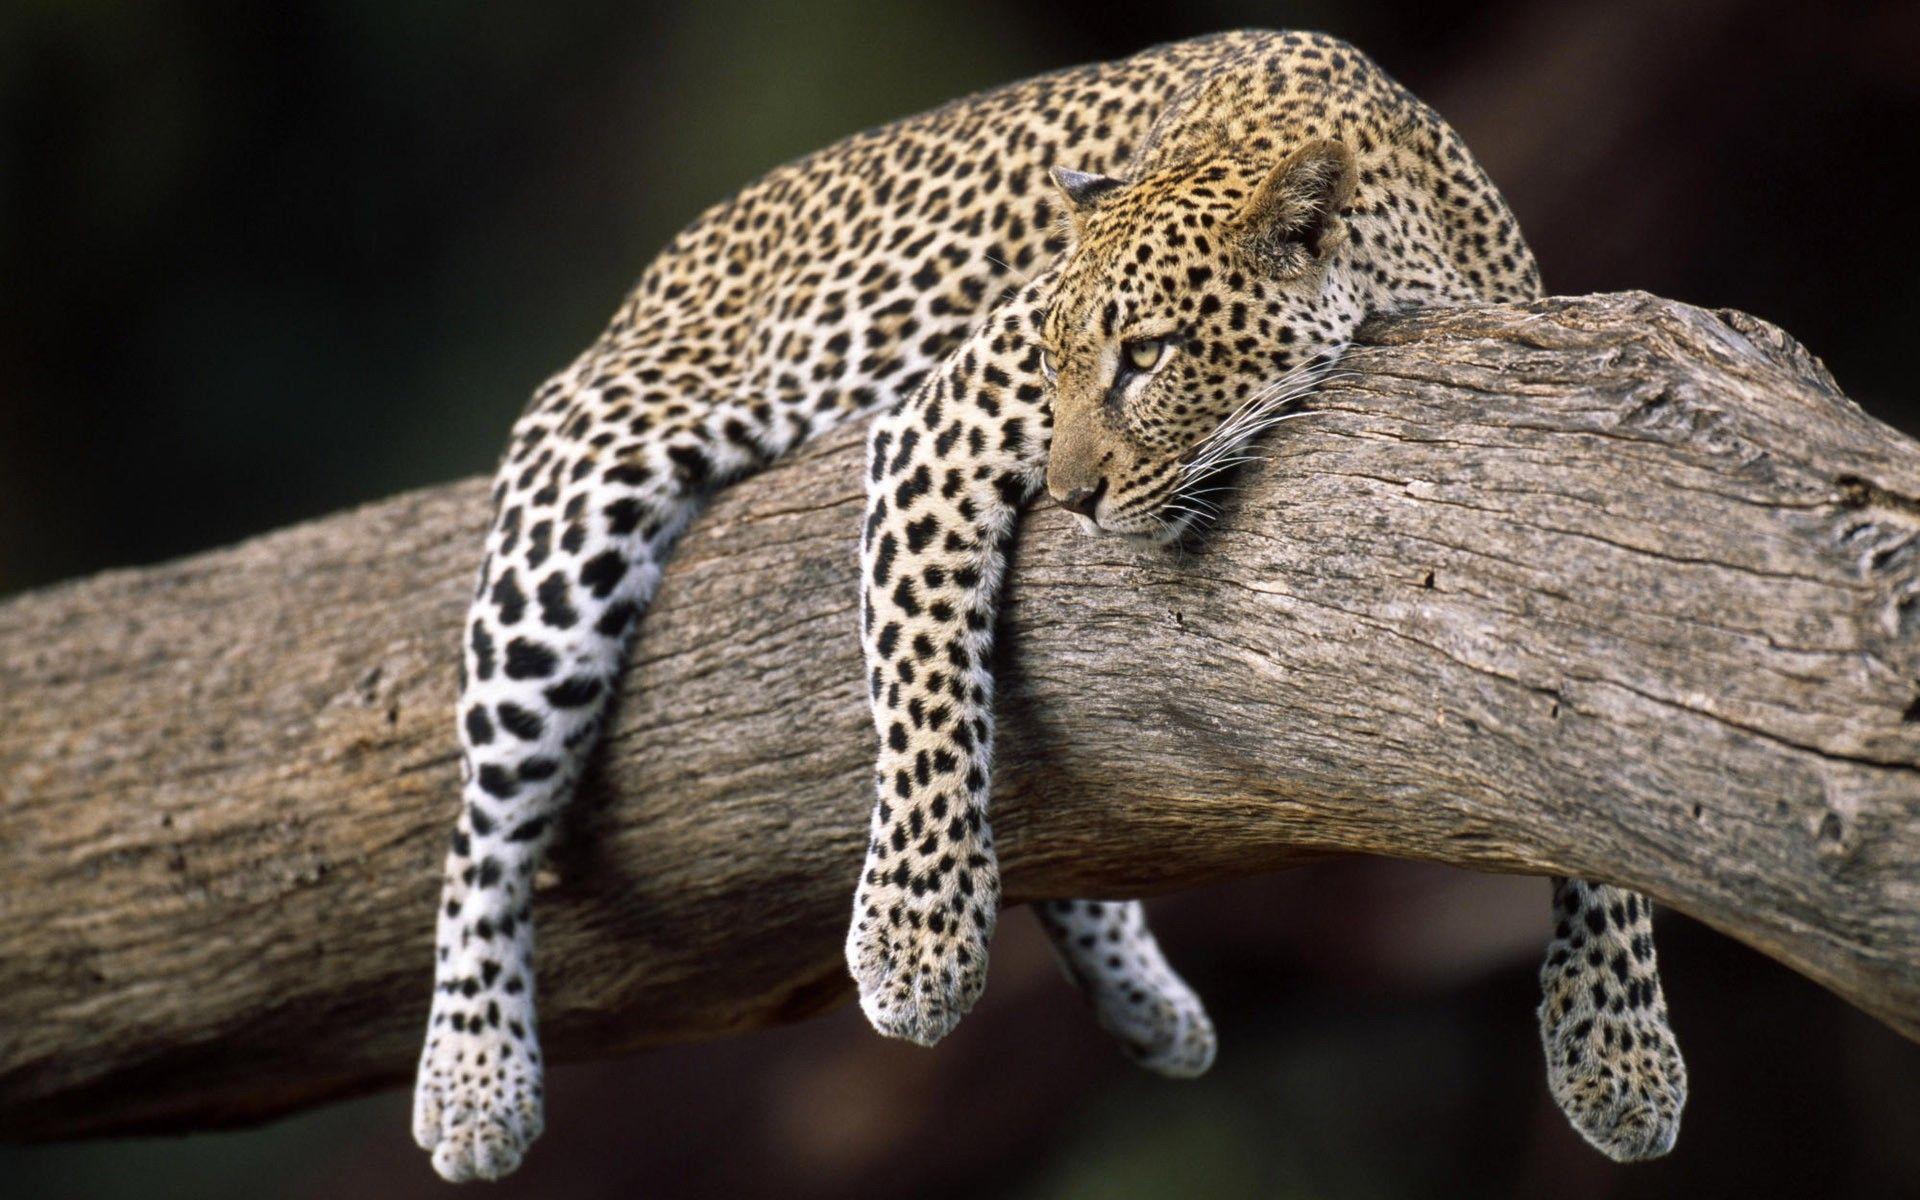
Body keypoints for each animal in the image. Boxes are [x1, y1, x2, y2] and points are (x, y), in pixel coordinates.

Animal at [413, 28, 1686, 1184]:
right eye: (1054, 360)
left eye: (1149, 355)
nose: (1071, 497)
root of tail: (665, 264)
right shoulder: (936, 427)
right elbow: (928, 682)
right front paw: (916, 941)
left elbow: (1599, 772)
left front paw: (1617, 1048)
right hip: (575, 512)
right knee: (486, 824)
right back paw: (473, 1080)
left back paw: (1146, 1003)